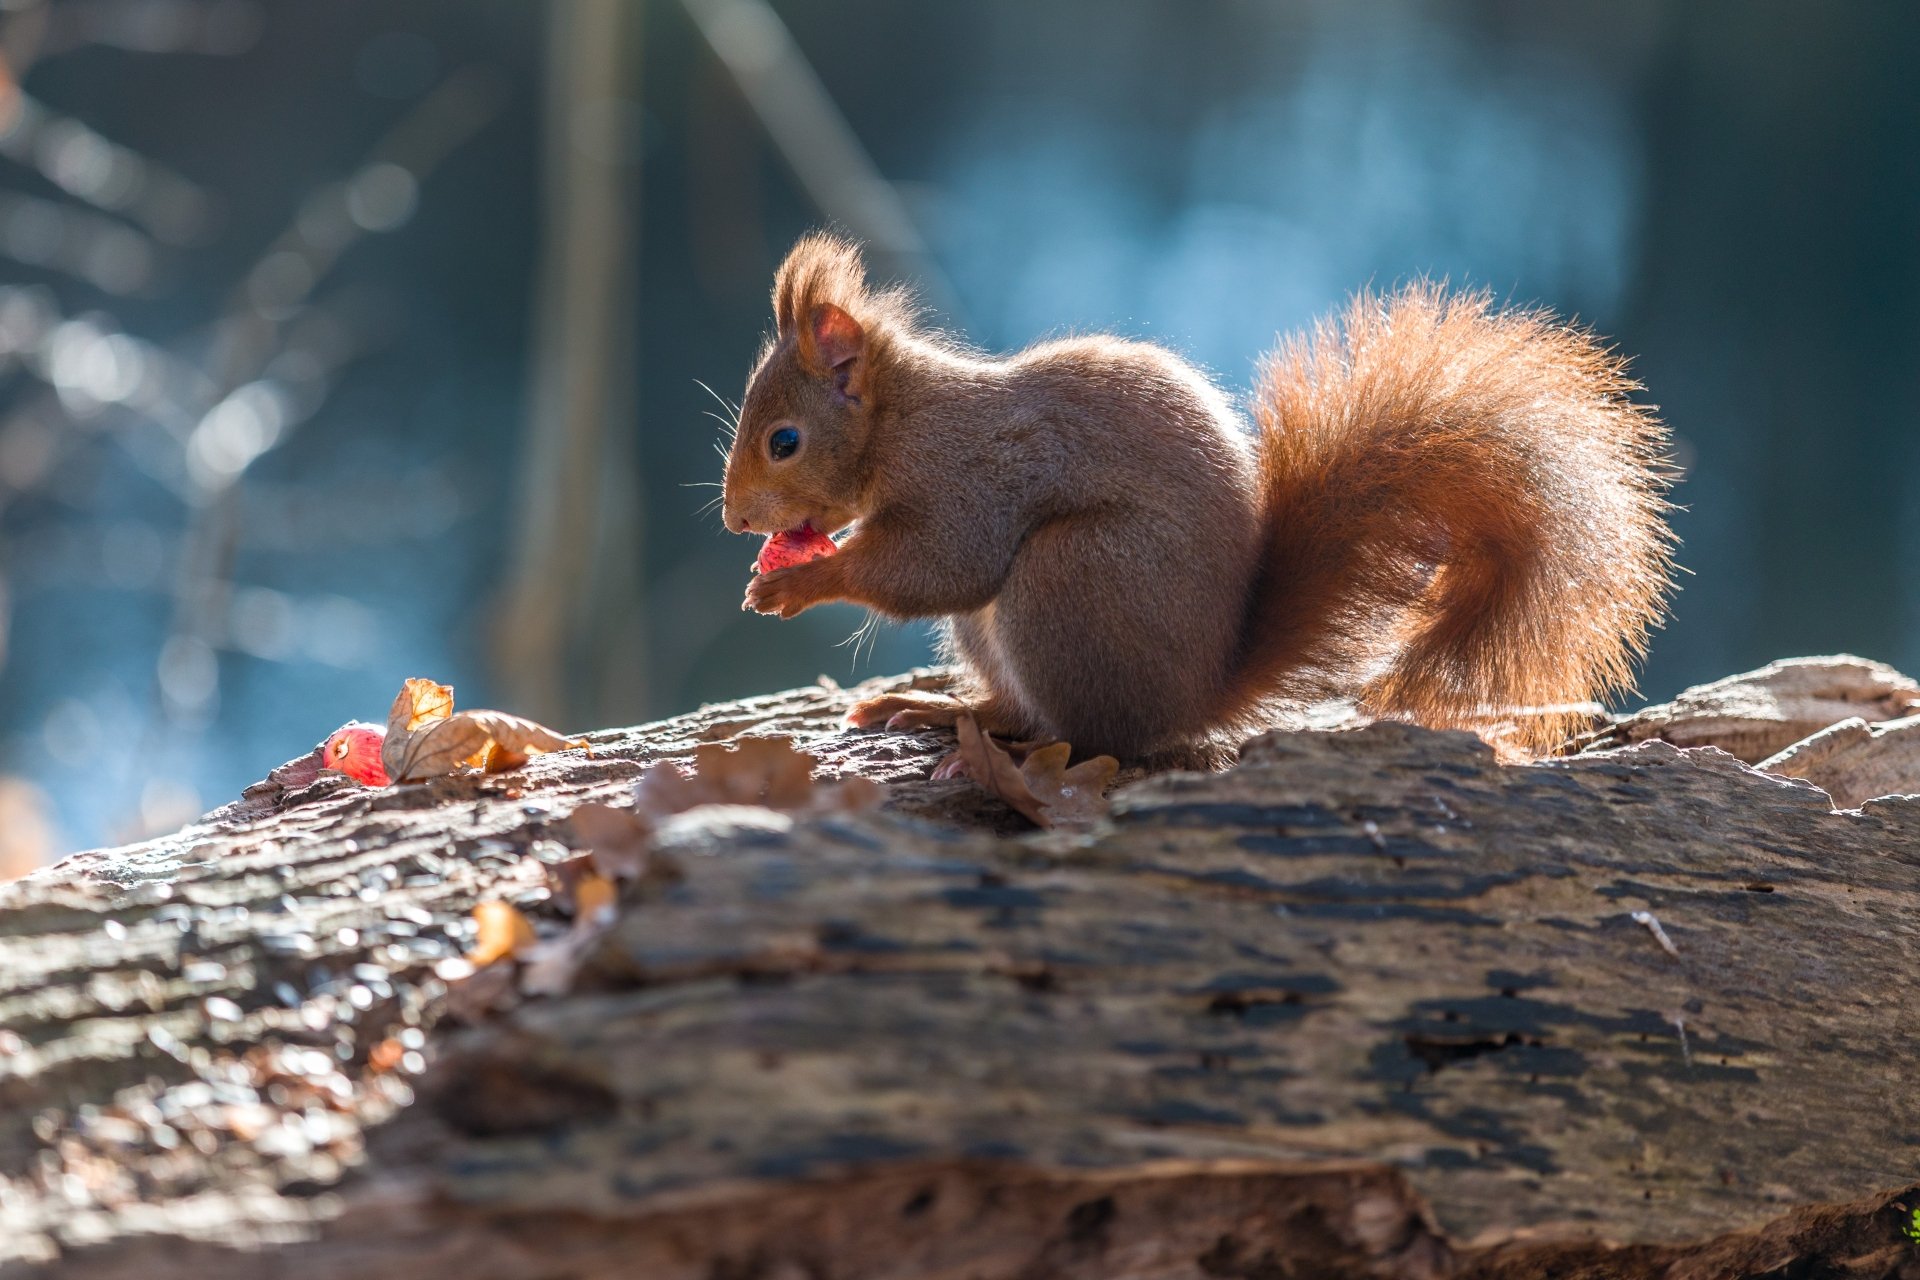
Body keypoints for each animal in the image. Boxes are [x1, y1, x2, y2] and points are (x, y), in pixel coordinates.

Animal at [722, 232, 1674, 762]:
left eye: (784, 441)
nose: (735, 518)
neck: (901, 422)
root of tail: (1196, 694)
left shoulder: (973, 476)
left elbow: (939, 567)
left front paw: (798, 582)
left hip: (1069, 578)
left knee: (1084, 733)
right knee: (1026, 707)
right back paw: (942, 708)